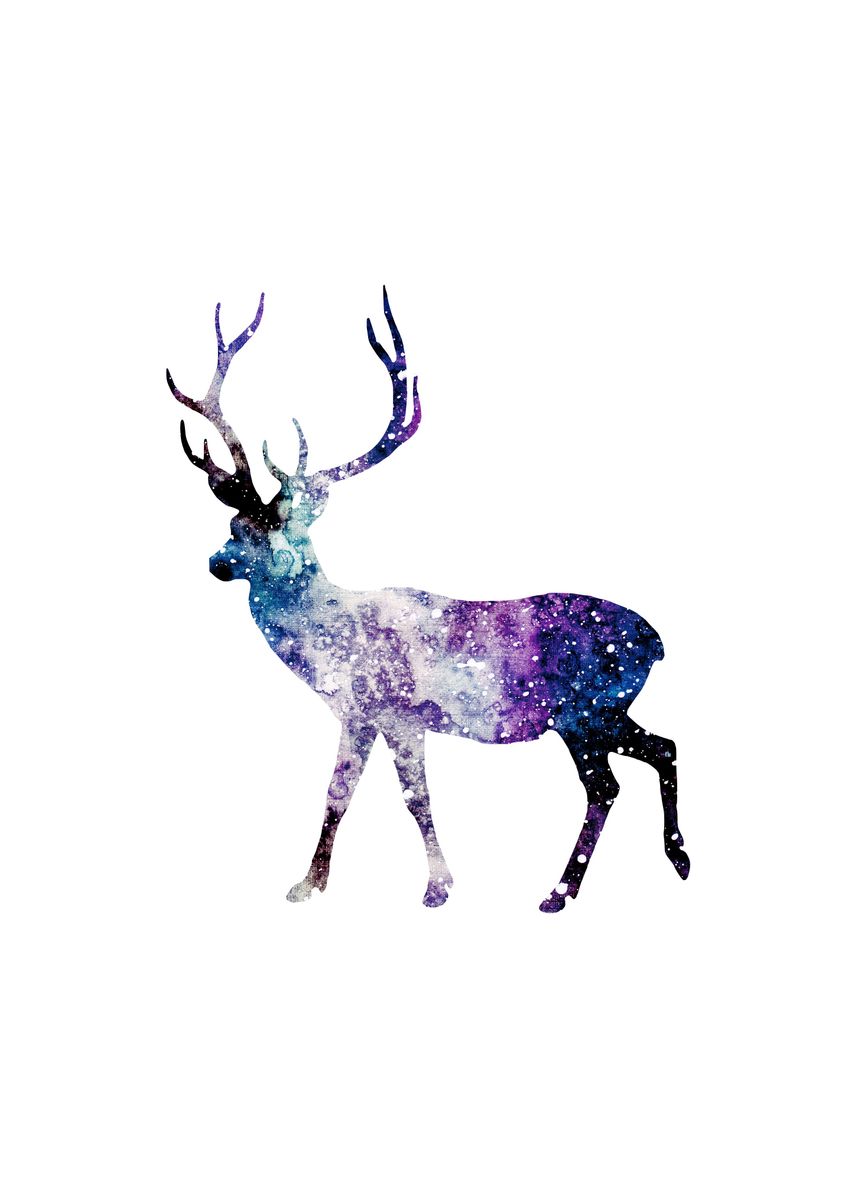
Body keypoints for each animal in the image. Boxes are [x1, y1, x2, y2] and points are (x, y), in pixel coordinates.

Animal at [167, 290, 689, 912]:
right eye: (235, 525)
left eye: (276, 533)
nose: (216, 563)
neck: (331, 642)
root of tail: (657, 644)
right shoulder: (360, 714)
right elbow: (337, 792)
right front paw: (308, 884)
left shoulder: (399, 710)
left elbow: (415, 797)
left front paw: (437, 888)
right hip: (607, 712)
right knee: (662, 747)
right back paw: (676, 861)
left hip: (586, 711)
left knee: (609, 783)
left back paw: (559, 891)